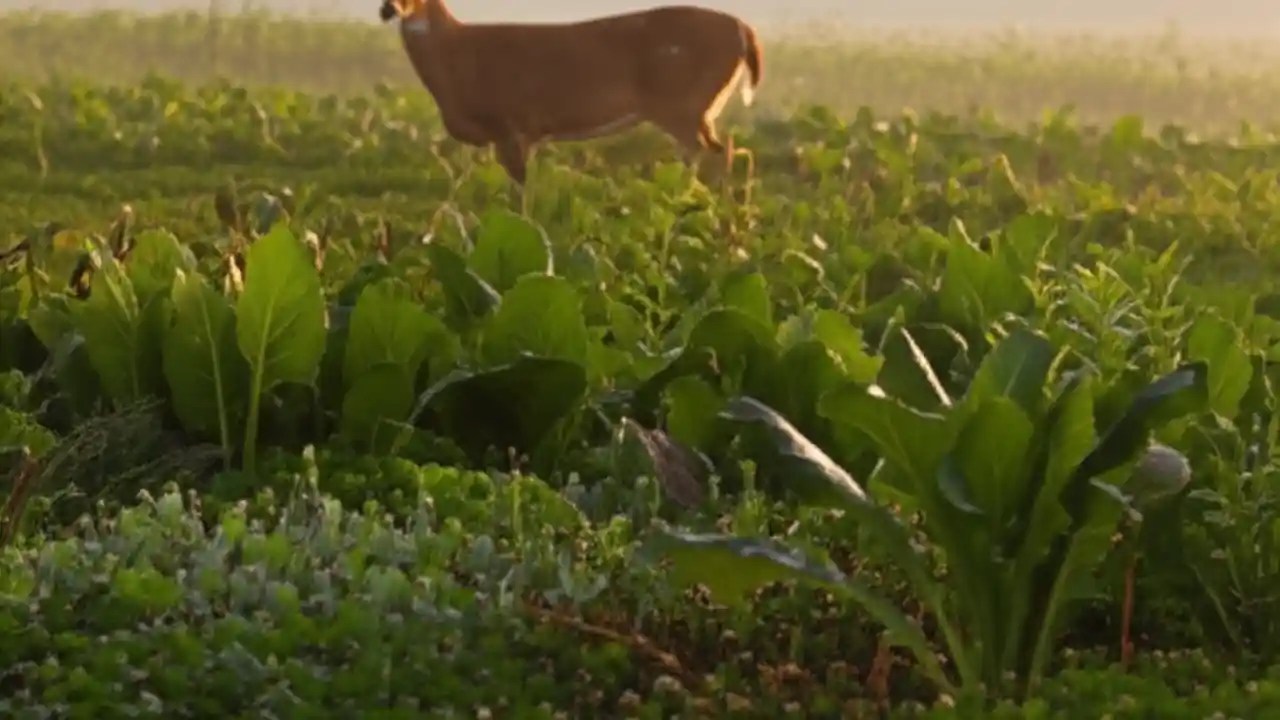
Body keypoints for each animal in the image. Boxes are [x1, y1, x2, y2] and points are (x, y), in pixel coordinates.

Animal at [377, 0, 763, 194]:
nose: (388, 9)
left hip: (682, 104)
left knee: (714, 153)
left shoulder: (513, 123)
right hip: (696, 110)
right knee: (727, 150)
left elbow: (520, 197)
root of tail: (744, 29)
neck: (456, 58)